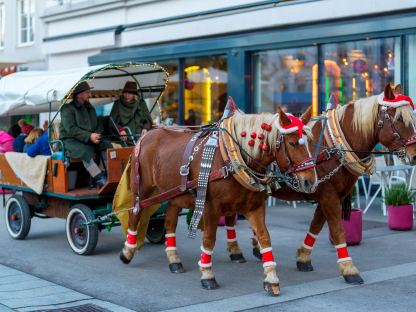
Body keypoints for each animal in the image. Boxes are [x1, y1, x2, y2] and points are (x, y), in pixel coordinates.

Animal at [118, 109, 316, 294]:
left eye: (310, 143)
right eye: (292, 143)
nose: (310, 182)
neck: (231, 158)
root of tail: (147, 134)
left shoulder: (255, 207)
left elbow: (264, 237)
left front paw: (271, 278)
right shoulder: (210, 208)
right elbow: (209, 239)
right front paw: (207, 275)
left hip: (174, 194)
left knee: (169, 222)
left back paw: (174, 259)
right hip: (142, 189)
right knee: (135, 213)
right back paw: (127, 251)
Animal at [234, 84, 416, 282]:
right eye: (399, 119)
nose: (415, 155)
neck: (333, 147)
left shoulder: (330, 195)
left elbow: (316, 224)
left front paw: (303, 257)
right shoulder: (328, 196)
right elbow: (337, 229)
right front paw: (349, 269)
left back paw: (256, 247)